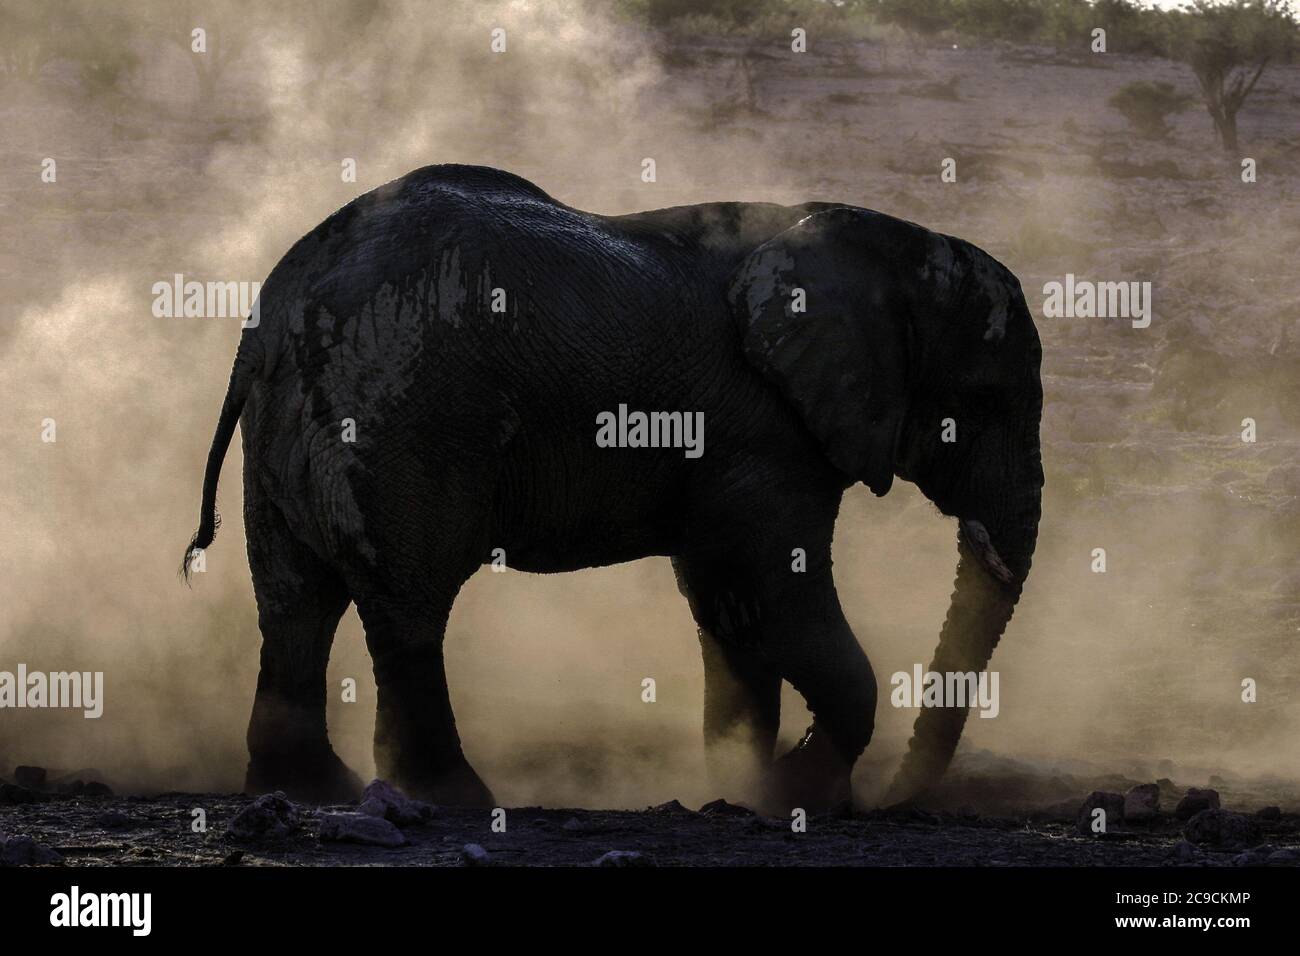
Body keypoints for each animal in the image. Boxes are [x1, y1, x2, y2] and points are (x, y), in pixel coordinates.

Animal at [183, 163, 1043, 812]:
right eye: (984, 404)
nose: (894, 801)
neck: (883, 244)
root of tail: (274, 310)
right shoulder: (765, 432)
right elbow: (780, 590)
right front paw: (798, 793)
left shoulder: (732, 446)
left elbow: (730, 604)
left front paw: (741, 784)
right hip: (395, 413)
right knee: (407, 608)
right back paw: (453, 798)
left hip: (291, 433)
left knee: (295, 604)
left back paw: (313, 789)